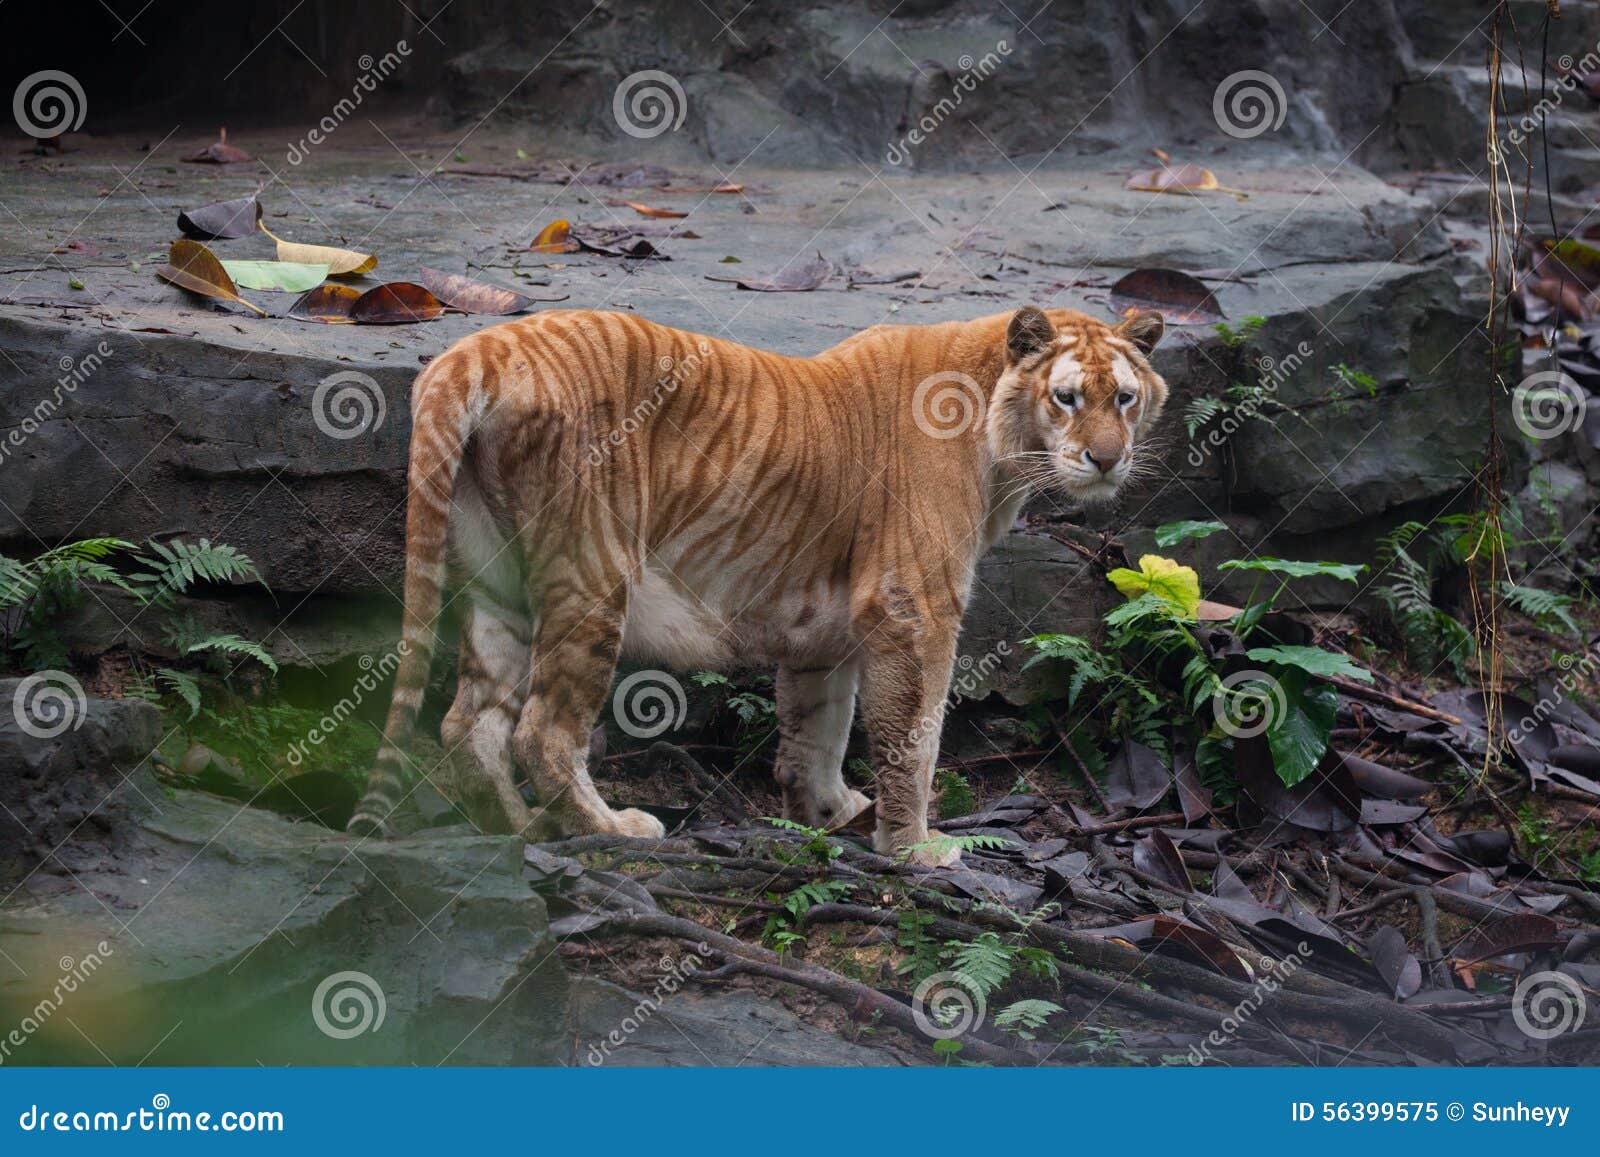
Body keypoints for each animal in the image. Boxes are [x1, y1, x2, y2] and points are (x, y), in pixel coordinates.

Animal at [346, 304, 1168, 867]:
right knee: (541, 732)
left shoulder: (826, 626)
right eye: (1067, 397)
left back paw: (521, 831)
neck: (1000, 450)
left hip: (497, 580)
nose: (1106, 460)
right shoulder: (913, 608)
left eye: (1124, 398)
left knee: (470, 722)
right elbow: (914, 737)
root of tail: (477, 348)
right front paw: (912, 847)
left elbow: (820, 726)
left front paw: (828, 809)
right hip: (592, 572)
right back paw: (612, 829)